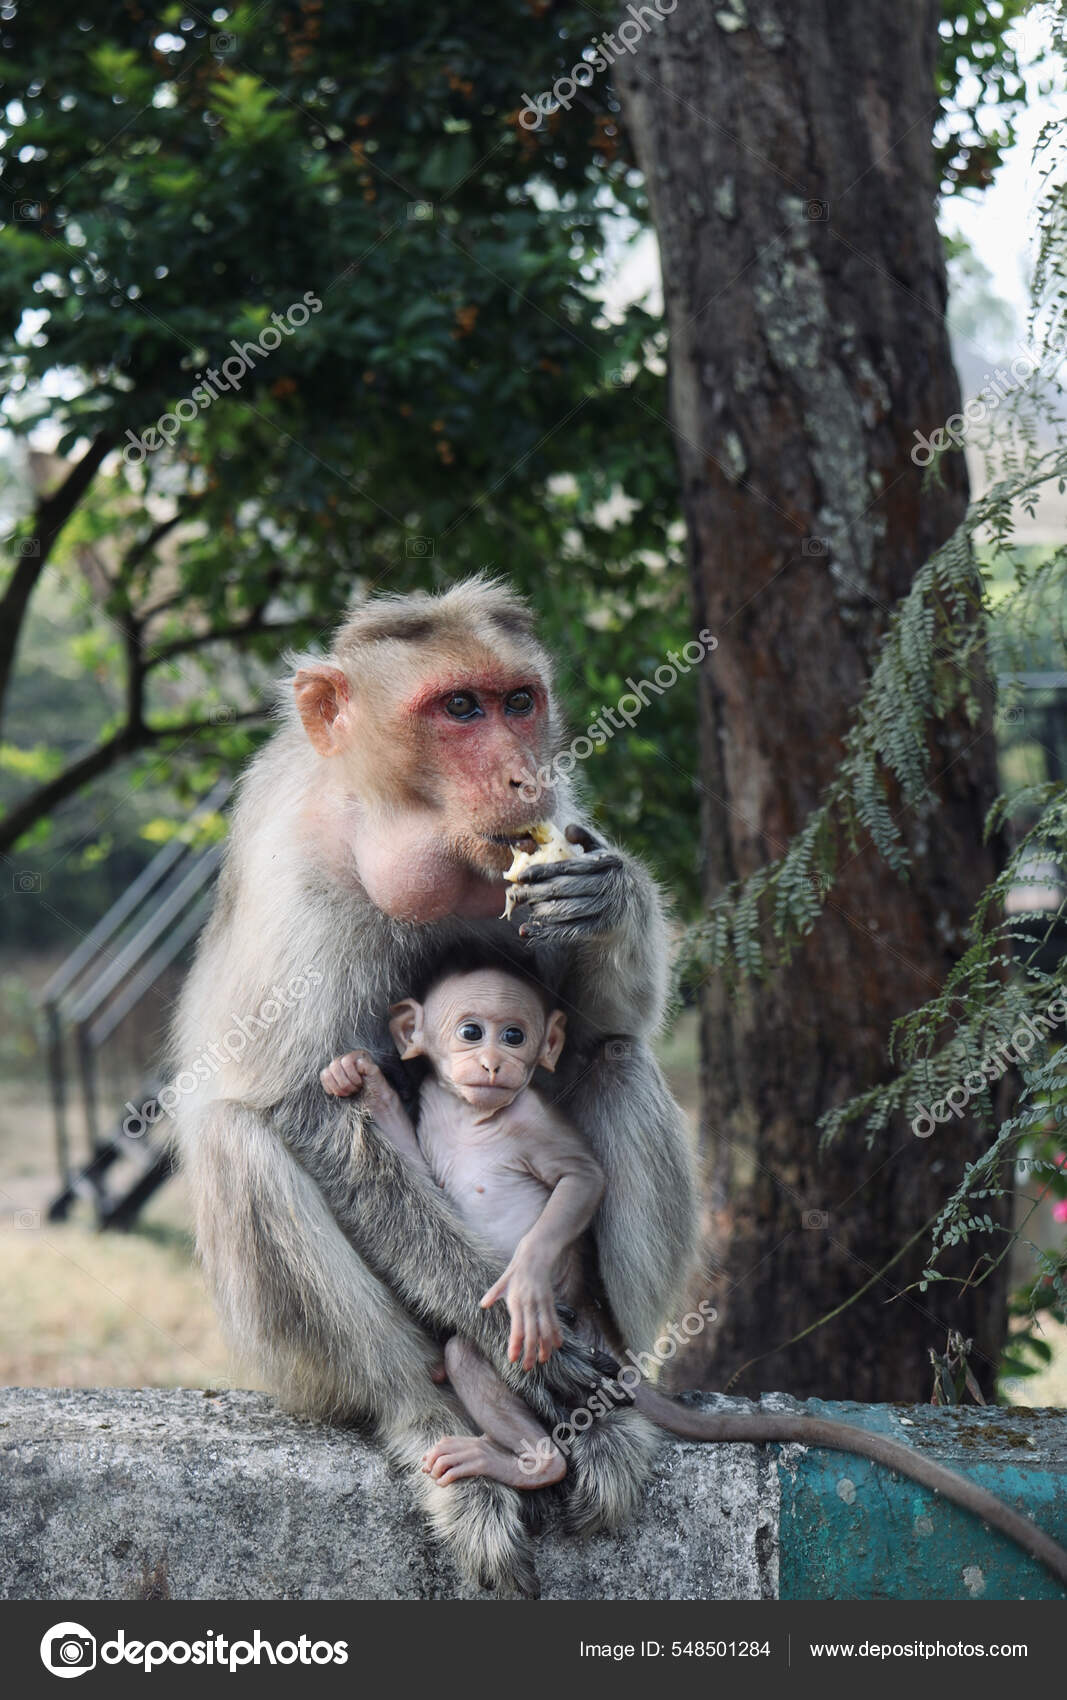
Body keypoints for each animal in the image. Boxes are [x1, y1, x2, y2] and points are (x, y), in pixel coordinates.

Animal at [172, 576, 1067, 1598]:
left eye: (517, 702)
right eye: (458, 708)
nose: (524, 779)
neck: (387, 821)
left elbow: (599, 1023)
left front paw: (606, 895)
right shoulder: (305, 880)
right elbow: (303, 1102)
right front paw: (496, 1330)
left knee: (618, 1062)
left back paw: (602, 1425)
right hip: (304, 1371)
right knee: (241, 1143)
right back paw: (439, 1426)